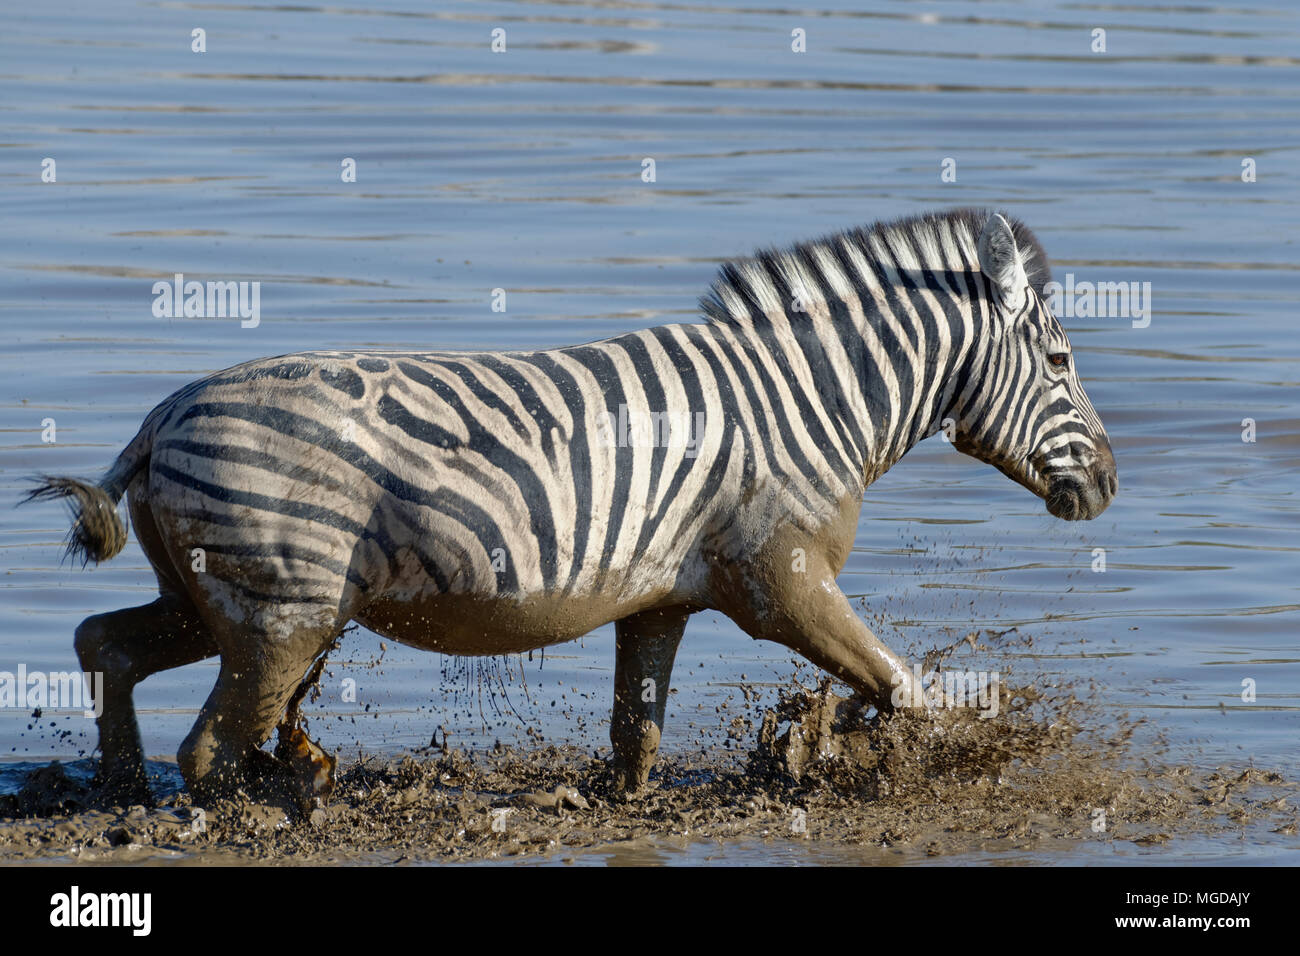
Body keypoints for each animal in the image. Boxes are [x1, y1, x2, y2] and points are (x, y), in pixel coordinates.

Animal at [25, 208, 1116, 807]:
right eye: (1063, 362)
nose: (1108, 481)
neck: (807, 404)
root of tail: (166, 412)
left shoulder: (662, 596)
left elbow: (638, 730)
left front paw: (622, 798)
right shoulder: (783, 580)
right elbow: (902, 683)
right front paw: (906, 755)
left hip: (219, 602)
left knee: (105, 642)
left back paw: (126, 790)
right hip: (282, 613)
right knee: (209, 741)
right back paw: (267, 807)